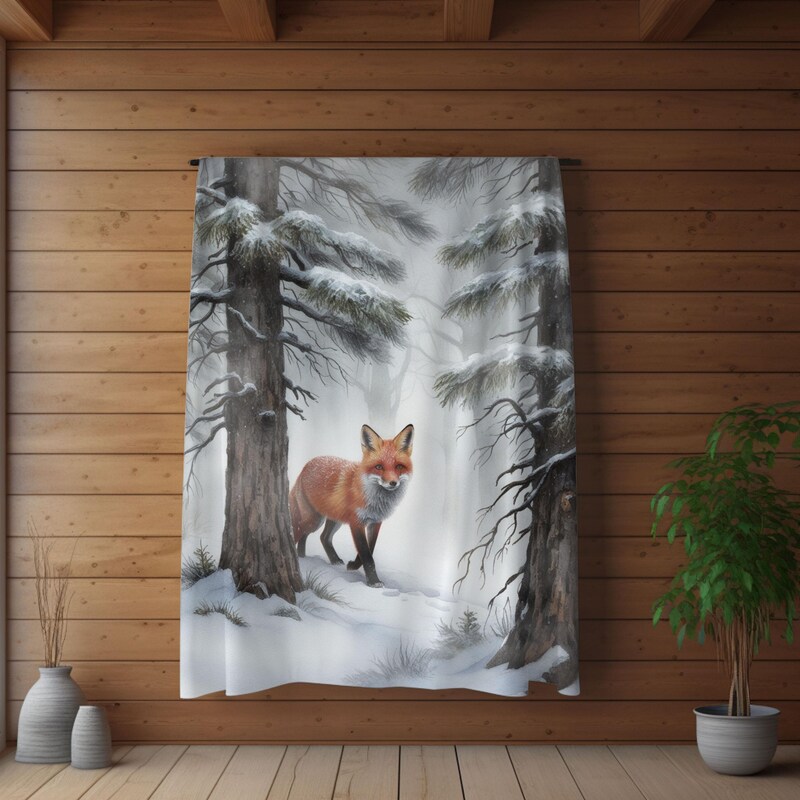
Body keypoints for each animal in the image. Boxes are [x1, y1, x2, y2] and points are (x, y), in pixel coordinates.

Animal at [289, 423, 414, 588]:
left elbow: (370, 549)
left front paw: (354, 565)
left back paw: (325, 559)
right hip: (314, 520)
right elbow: (366, 554)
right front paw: (374, 582)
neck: (374, 500)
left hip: (334, 519)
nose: (393, 483)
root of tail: (306, 466)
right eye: (379, 467)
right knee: (298, 532)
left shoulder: (375, 522)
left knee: (323, 537)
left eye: (399, 466)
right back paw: (299, 559)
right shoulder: (356, 522)